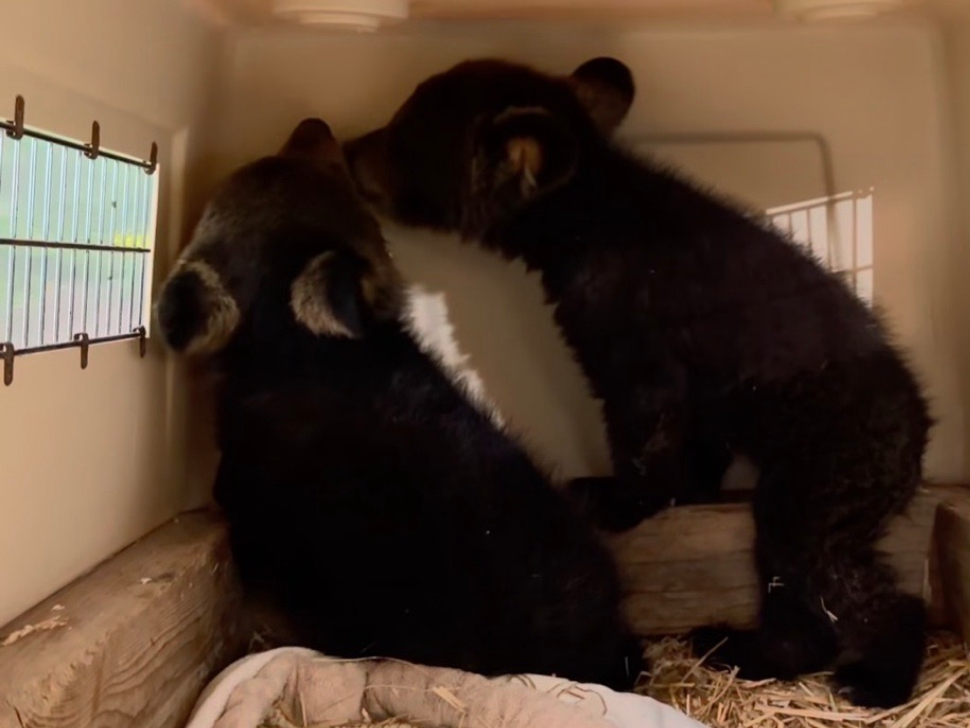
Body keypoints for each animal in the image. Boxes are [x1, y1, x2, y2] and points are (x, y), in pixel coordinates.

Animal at [343, 58, 932, 708]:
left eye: (403, 134)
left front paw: (616, 499)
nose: (347, 146)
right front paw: (684, 490)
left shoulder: (630, 337)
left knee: (837, 579)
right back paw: (739, 649)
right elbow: (693, 442)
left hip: (822, 481)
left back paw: (877, 677)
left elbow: (644, 426)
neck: (587, 213)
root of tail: (917, 443)